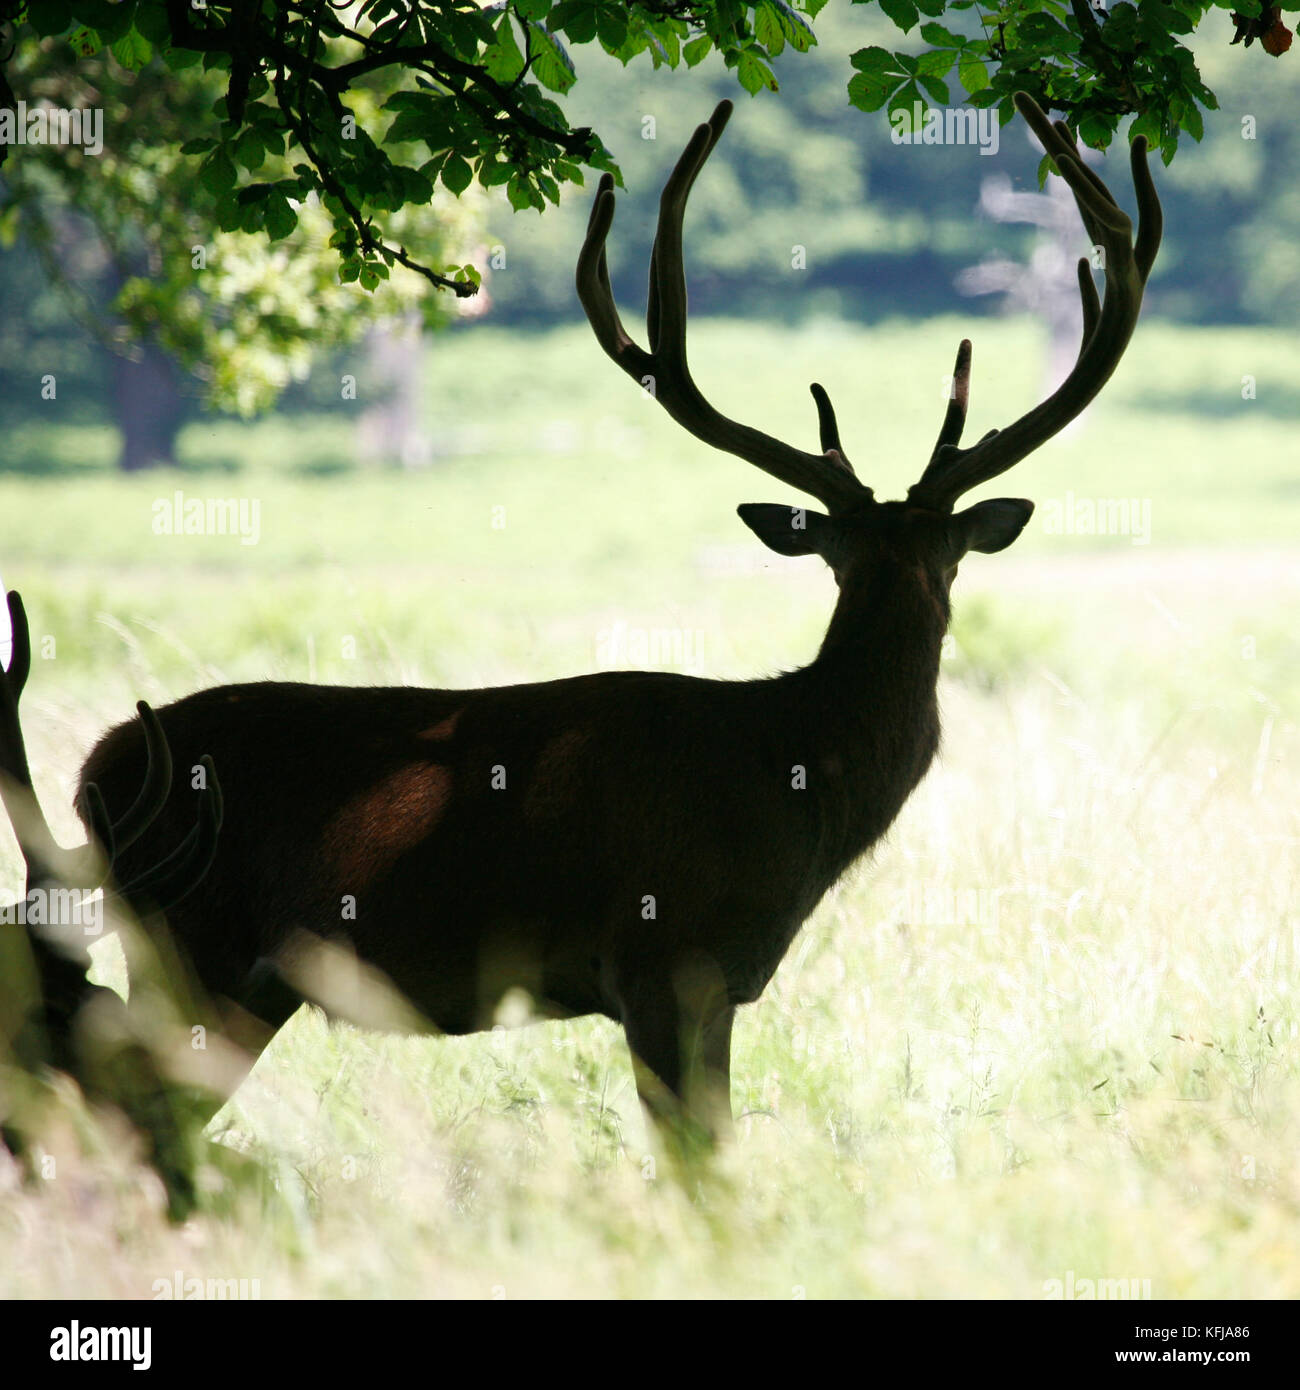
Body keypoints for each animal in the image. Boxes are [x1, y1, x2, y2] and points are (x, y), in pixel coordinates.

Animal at [69, 93, 1160, 1154]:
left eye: (939, 553)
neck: (793, 777)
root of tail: (93, 769)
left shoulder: (714, 982)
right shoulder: (661, 955)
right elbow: (697, 1164)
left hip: (236, 971)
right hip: (190, 935)